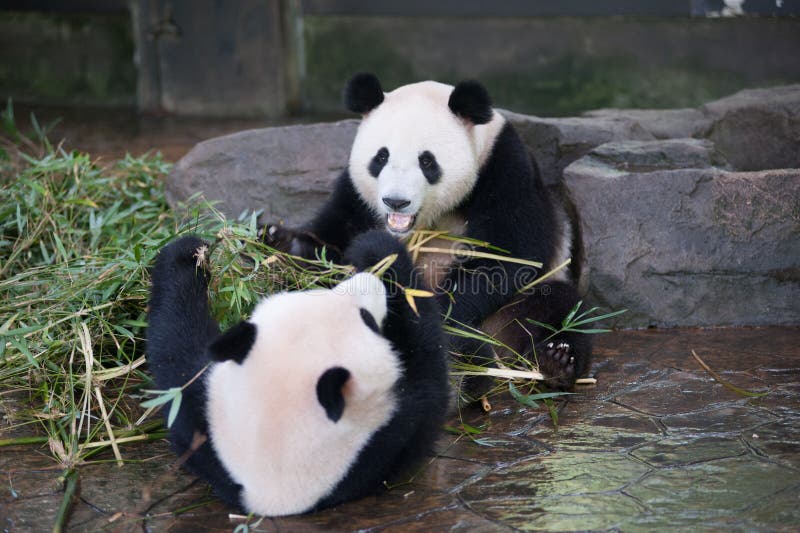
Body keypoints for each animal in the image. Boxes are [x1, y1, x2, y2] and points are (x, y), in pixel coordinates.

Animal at [146, 230, 449, 516]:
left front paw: (188, 253)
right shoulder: (383, 444)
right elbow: (429, 375)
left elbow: (175, 352)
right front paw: (380, 252)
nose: (368, 280)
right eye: (367, 319)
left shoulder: (203, 422)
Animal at [265, 73, 591, 391]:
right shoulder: (356, 195)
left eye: (426, 161)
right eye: (381, 157)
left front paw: (435, 312)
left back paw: (557, 360)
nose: (396, 201)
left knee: (559, 308)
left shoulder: (504, 167)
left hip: (526, 302)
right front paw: (280, 242)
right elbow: (333, 235)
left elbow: (509, 255)